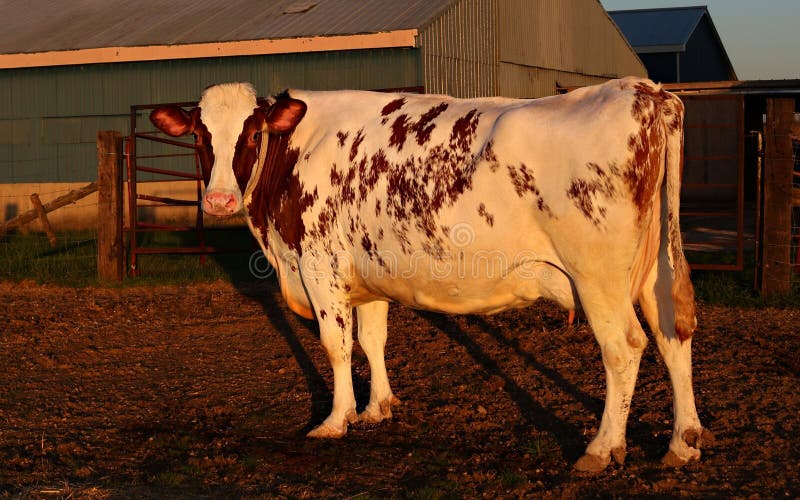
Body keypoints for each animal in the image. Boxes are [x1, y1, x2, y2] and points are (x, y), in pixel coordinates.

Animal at [149, 77, 709, 472]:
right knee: (672, 334)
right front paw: (377, 408)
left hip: (598, 277)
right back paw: (683, 443)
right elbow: (372, 339)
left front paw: (335, 420)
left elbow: (336, 344)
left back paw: (601, 448)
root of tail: (647, 91)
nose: (219, 200)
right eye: (199, 136)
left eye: (252, 132)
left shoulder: (319, 265)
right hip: (656, 266)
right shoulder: (367, 271)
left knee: (625, 348)